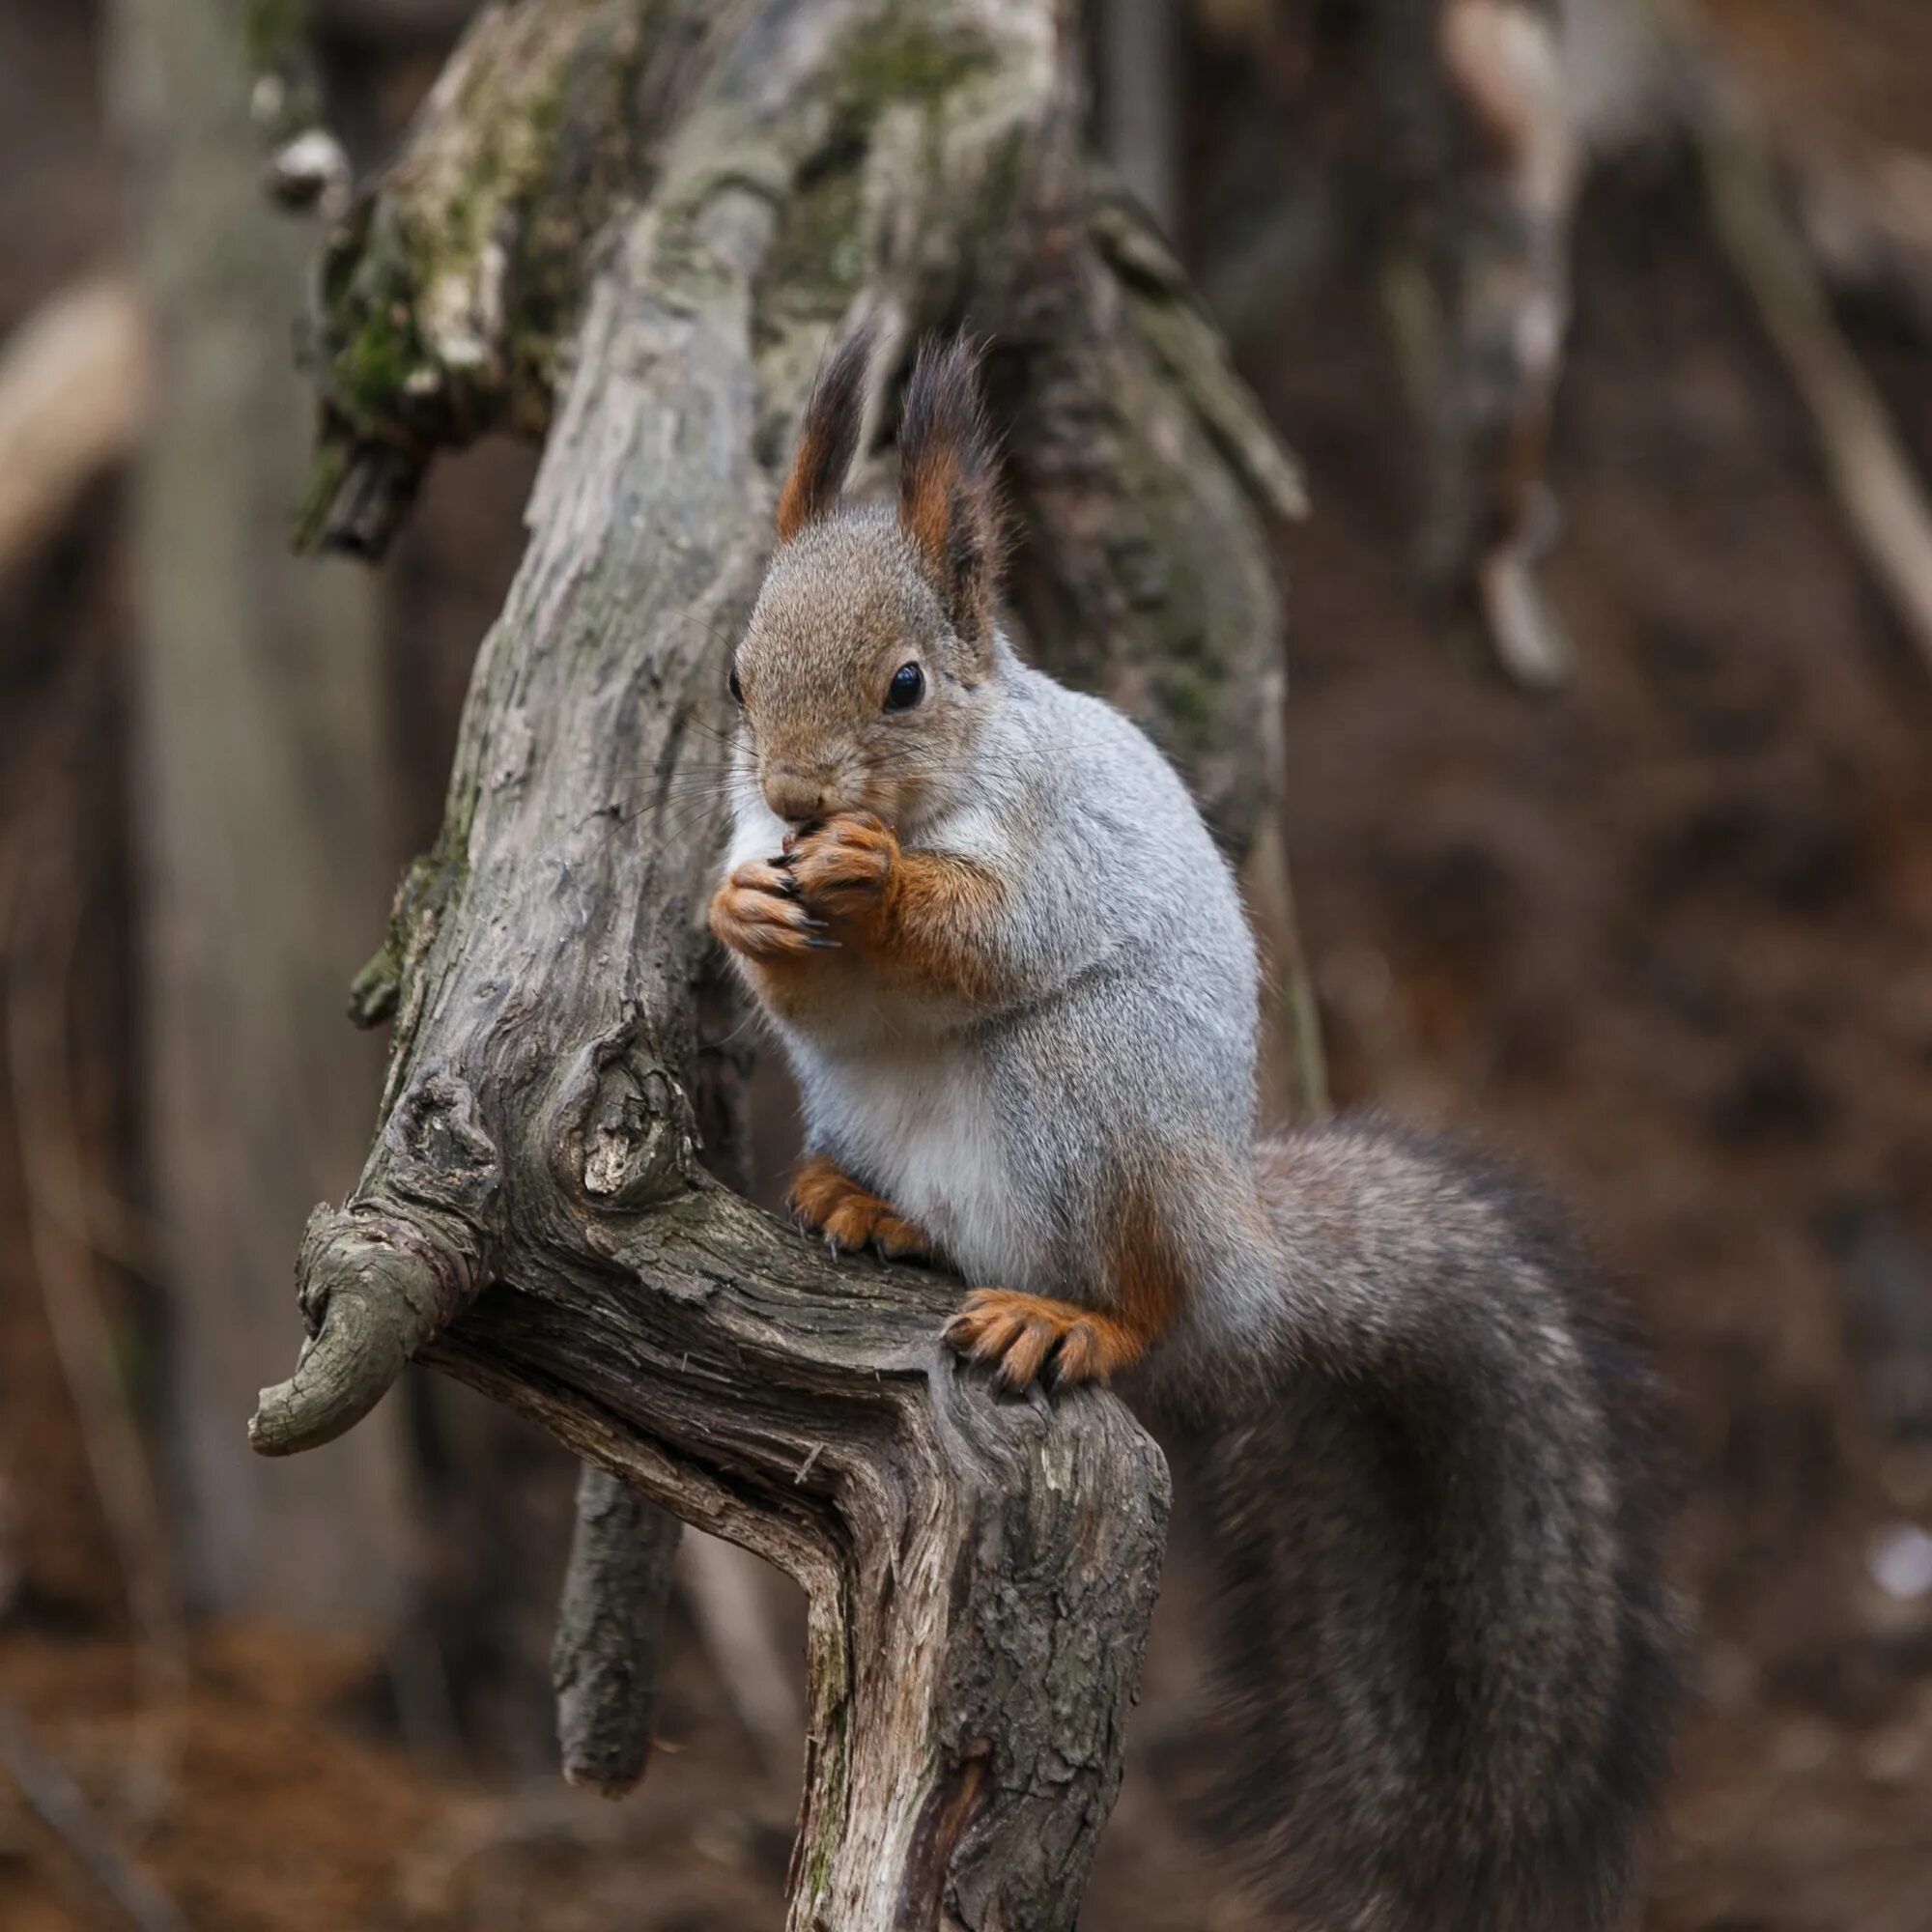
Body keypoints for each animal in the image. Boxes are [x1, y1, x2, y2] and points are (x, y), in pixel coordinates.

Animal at [711, 332, 1677, 1932]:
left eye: (905, 684)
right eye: (735, 674)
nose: (791, 799)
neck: (954, 778)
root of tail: (1246, 1261)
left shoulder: (1056, 845)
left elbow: (984, 936)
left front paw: (874, 882)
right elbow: (792, 976)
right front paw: (748, 906)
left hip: (1091, 1099)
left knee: (1143, 1303)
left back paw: (1069, 1322)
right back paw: (871, 1210)